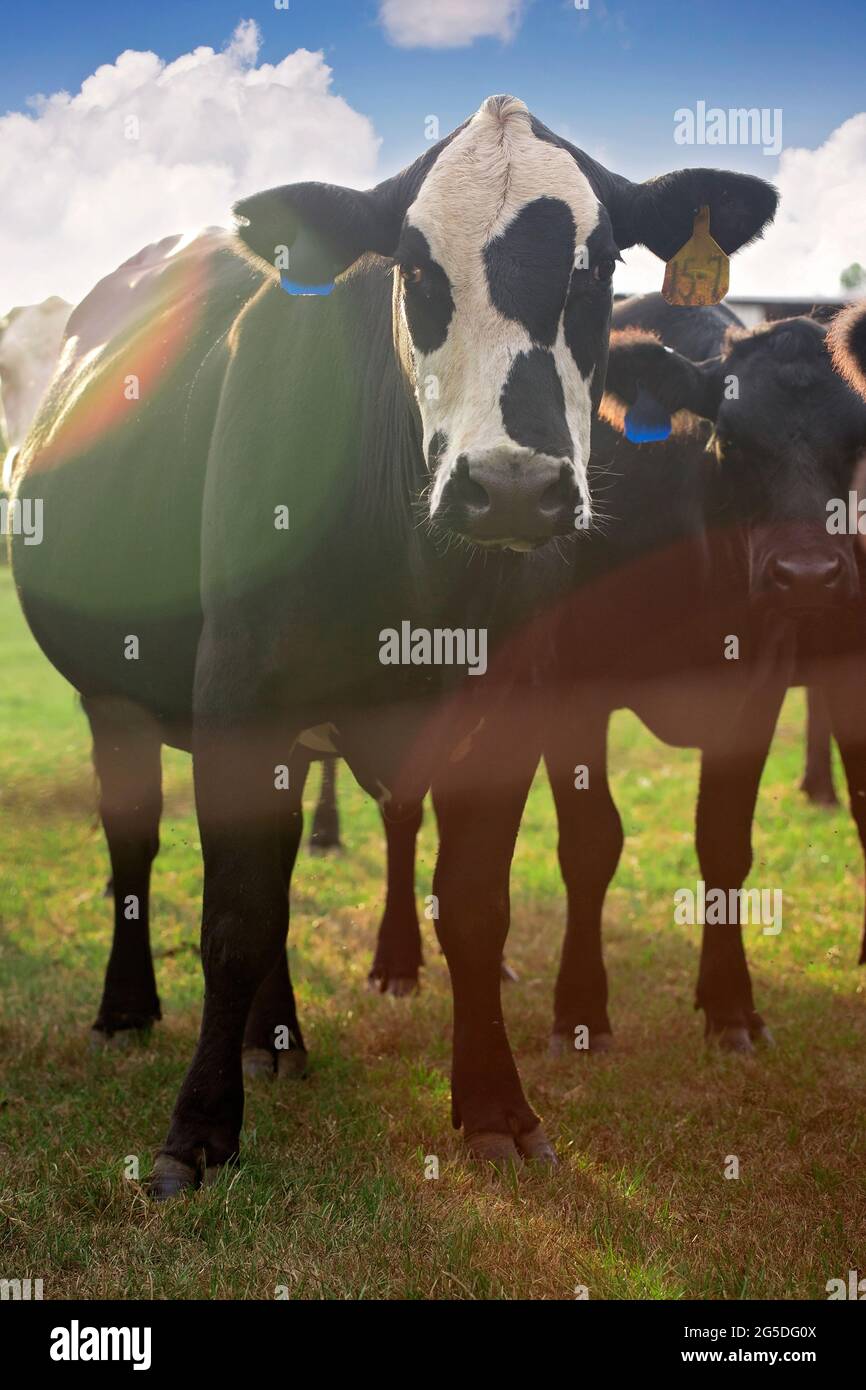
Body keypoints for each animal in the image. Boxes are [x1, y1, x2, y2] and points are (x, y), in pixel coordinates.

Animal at [11, 95, 776, 1189]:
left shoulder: (509, 713)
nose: (510, 486)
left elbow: (472, 910)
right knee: (138, 845)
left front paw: (495, 1107)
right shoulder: (236, 699)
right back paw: (129, 1011)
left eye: (598, 269)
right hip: (112, 701)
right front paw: (197, 1129)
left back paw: (275, 1036)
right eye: (414, 270)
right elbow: (233, 916)